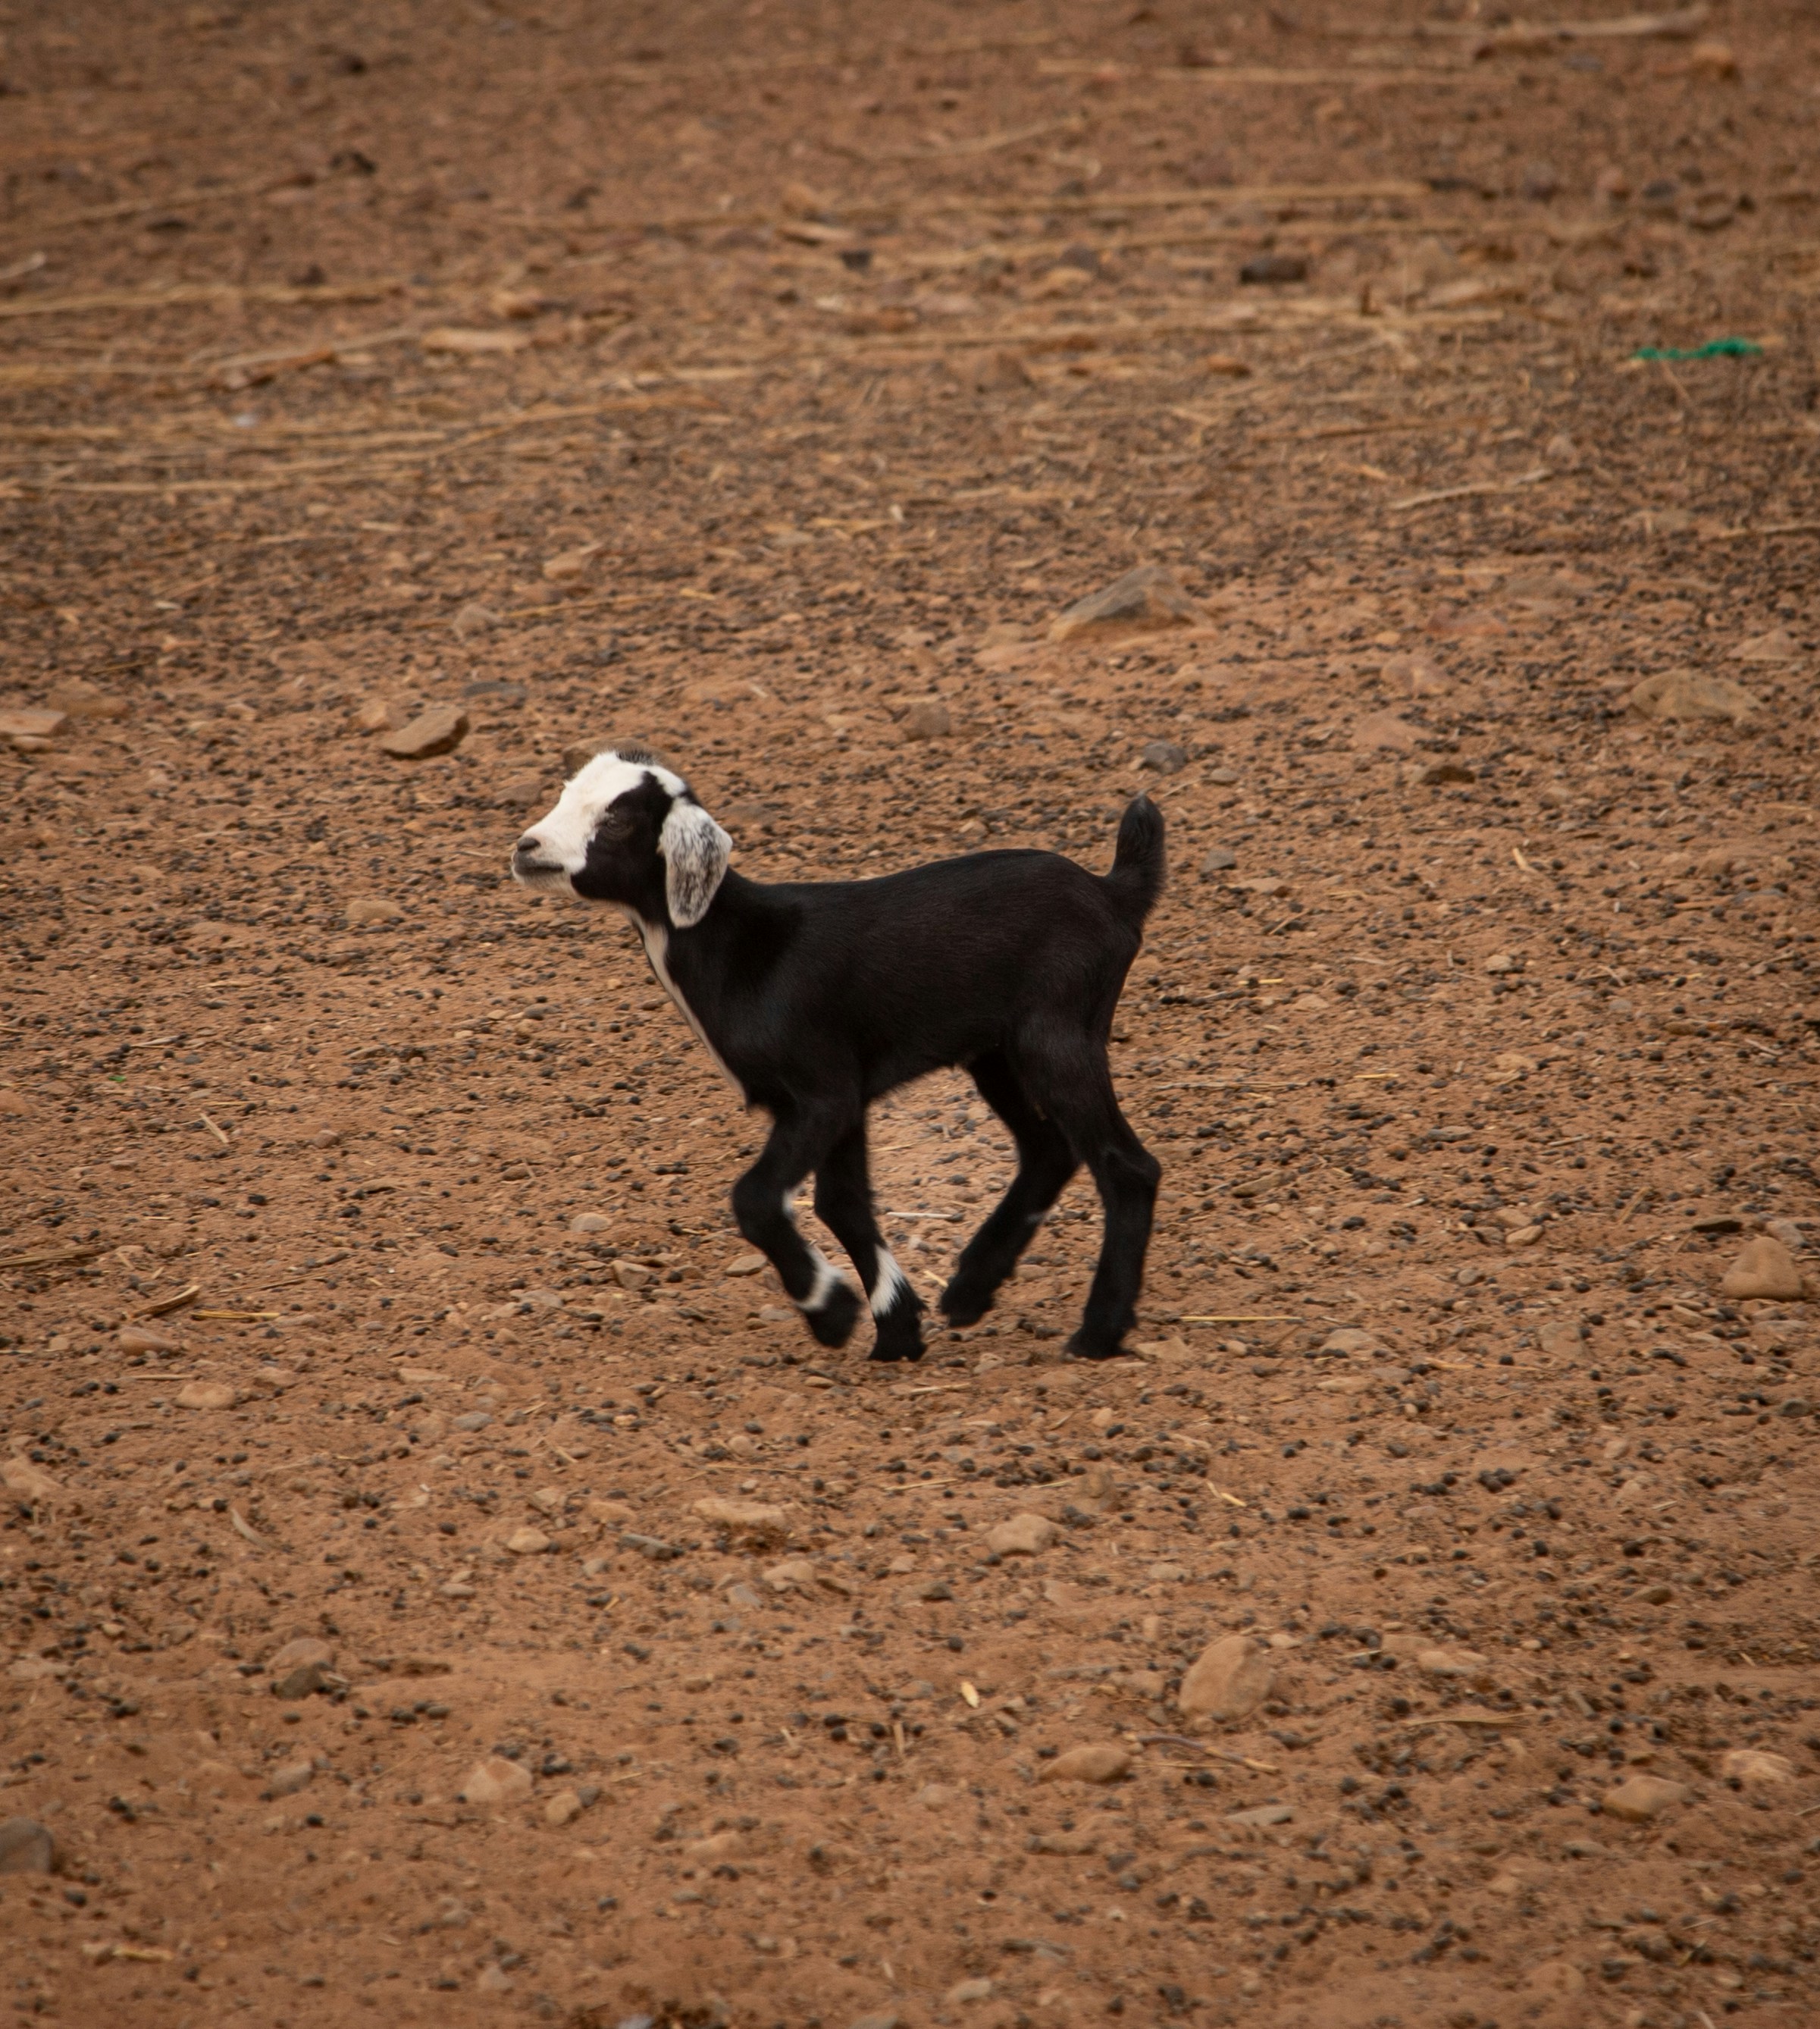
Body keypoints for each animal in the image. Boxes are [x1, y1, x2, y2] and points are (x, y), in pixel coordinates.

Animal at [511, 747, 1164, 1362]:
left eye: (618, 818)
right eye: (566, 793)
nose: (526, 848)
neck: (740, 948)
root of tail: (1112, 892)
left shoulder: (821, 1092)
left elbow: (756, 1198)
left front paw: (832, 1312)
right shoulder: (843, 1095)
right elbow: (843, 1204)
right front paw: (896, 1331)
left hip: (1058, 1032)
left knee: (1126, 1167)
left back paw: (1098, 1331)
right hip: (996, 1052)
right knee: (1049, 1149)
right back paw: (970, 1289)